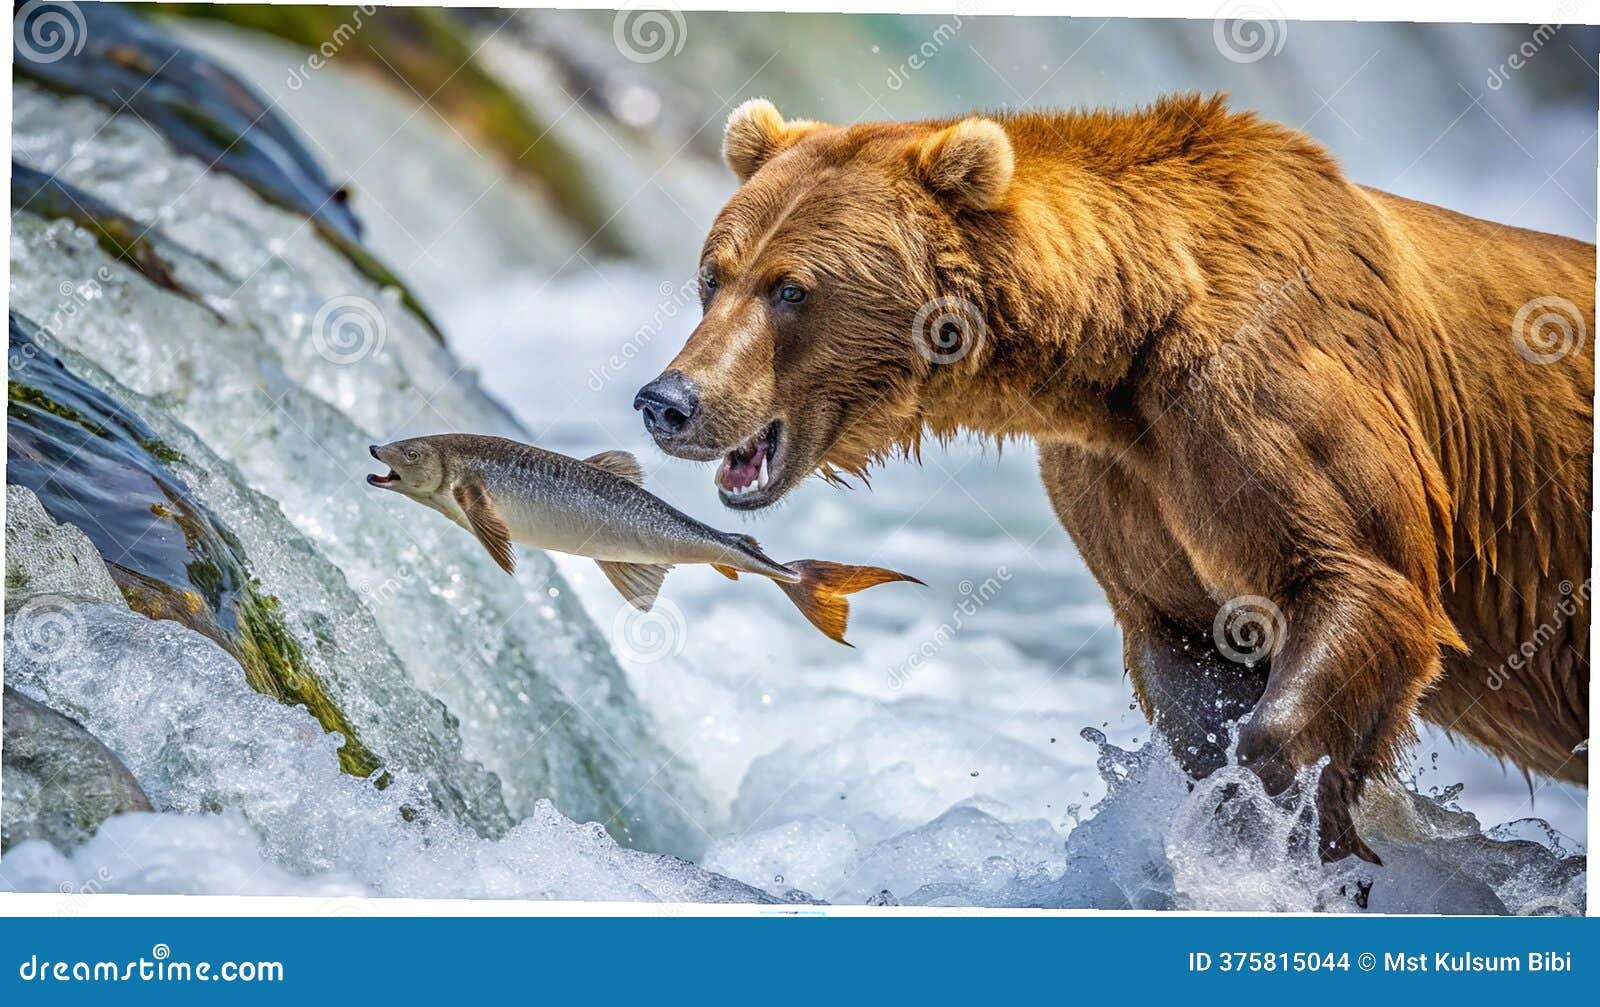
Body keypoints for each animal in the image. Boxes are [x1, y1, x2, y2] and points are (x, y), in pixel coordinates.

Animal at [634, 94, 1593, 863]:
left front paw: (1287, 819)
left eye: (791, 289)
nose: (667, 400)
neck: (1117, 355)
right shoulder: (1124, 487)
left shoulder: (1266, 398)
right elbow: (1186, 656)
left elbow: (1361, 581)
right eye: (712, 275)